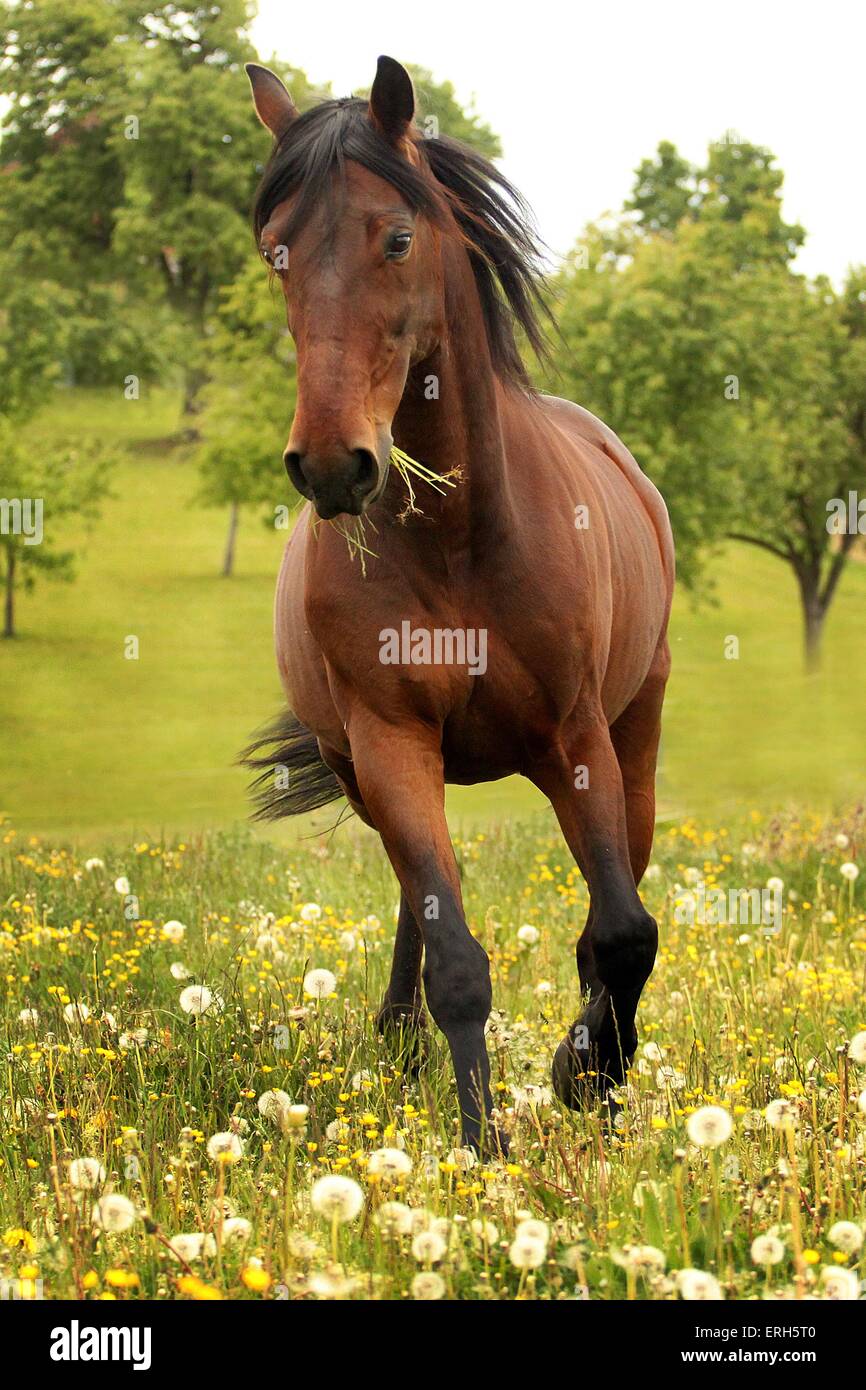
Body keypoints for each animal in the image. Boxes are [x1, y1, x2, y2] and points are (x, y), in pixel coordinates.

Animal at [241, 56, 675, 1153]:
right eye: (275, 254)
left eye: (396, 237)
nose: (331, 464)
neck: (462, 540)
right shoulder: (392, 743)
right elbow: (456, 961)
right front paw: (483, 1149)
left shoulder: (575, 739)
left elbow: (622, 932)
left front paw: (585, 1076)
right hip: (368, 770)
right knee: (413, 902)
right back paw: (400, 1041)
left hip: (637, 729)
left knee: (622, 900)